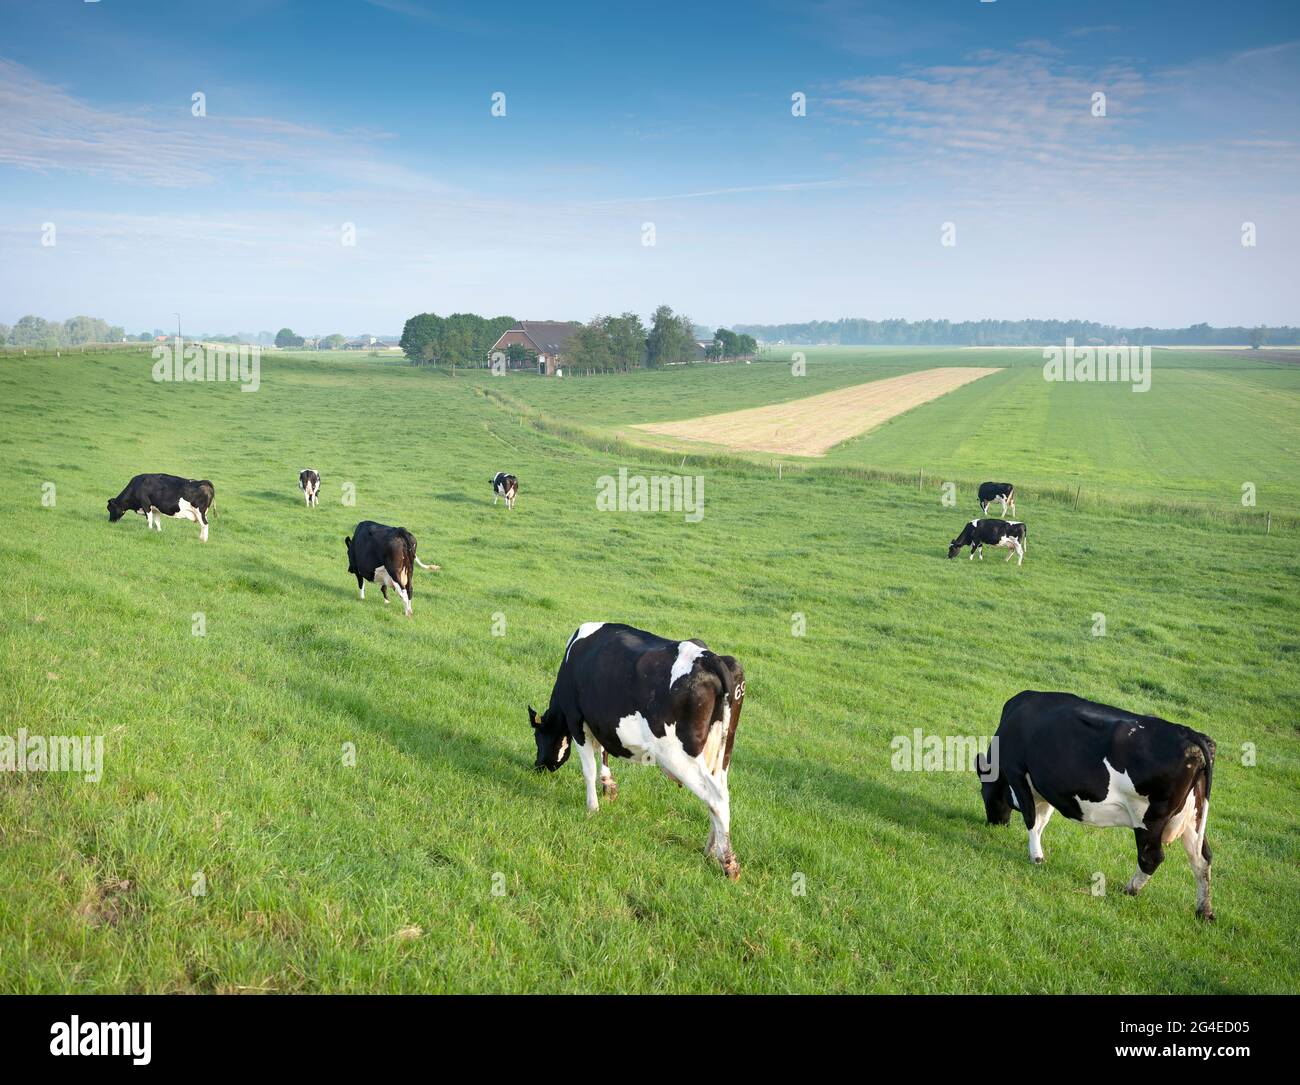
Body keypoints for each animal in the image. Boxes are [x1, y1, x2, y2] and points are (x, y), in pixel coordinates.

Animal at [528, 622, 746, 879]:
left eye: (537, 736)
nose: (538, 766)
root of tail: (711, 658)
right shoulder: (601, 721)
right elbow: (603, 750)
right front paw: (609, 786)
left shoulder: (576, 718)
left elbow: (588, 768)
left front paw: (592, 808)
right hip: (721, 753)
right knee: (718, 793)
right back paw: (710, 849)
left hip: (679, 754)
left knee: (717, 798)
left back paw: (727, 862)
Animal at [977, 691, 1216, 920]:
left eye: (982, 792)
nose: (995, 823)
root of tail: (1188, 733)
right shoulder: (1045, 788)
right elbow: (1041, 820)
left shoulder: (1016, 772)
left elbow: (1030, 818)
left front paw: (1036, 857)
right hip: (1194, 819)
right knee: (1201, 858)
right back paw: (1204, 911)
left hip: (1149, 818)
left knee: (1151, 857)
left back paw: (1130, 889)